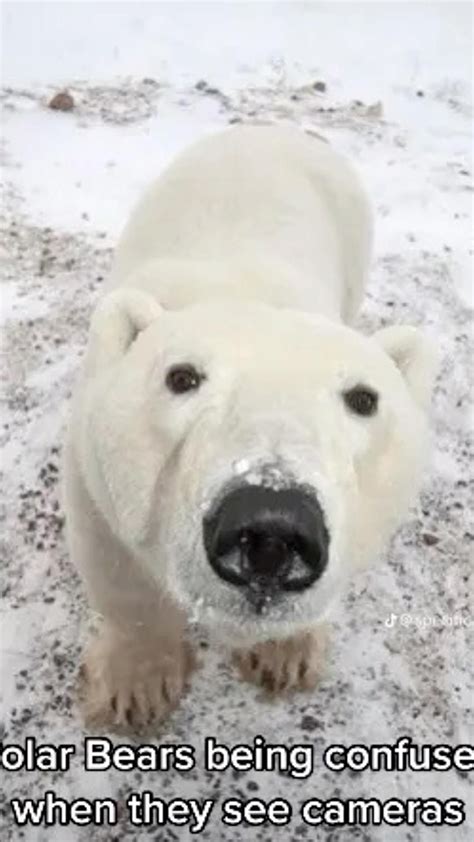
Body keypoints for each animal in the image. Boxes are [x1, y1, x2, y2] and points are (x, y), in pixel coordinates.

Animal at [63, 125, 437, 730]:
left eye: (363, 399)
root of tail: (276, 127)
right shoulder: (91, 468)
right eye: (181, 377)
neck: (247, 292)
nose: (271, 532)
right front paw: (137, 686)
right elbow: (119, 571)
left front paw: (283, 656)